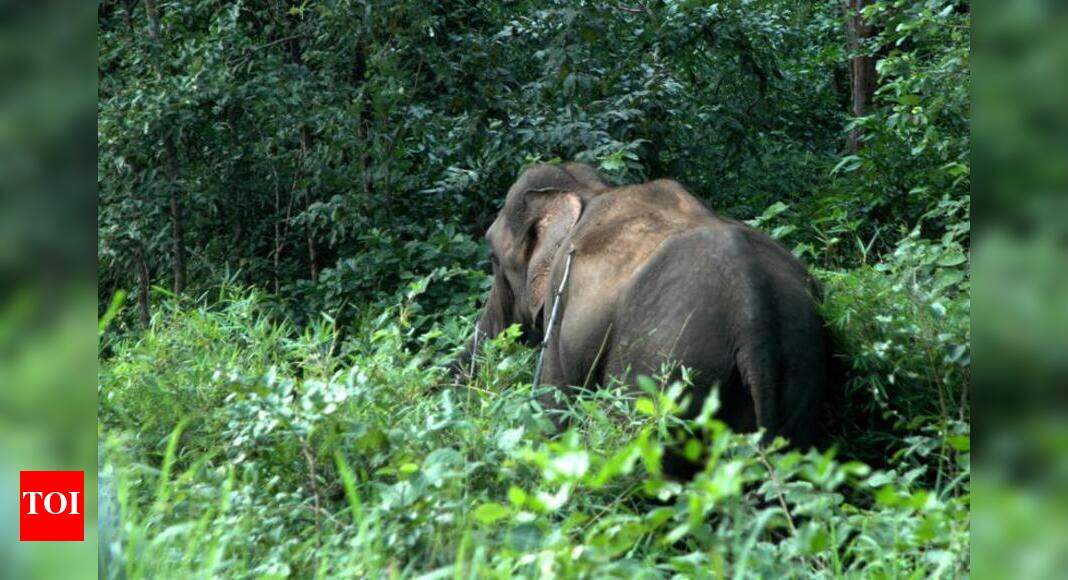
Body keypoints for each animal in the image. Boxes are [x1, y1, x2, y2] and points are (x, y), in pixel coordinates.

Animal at [457, 162, 827, 473]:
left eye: (493, 258)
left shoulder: (562, 292)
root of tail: (753, 316)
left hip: (665, 375)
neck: (590, 191)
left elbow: (554, 409)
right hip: (800, 365)